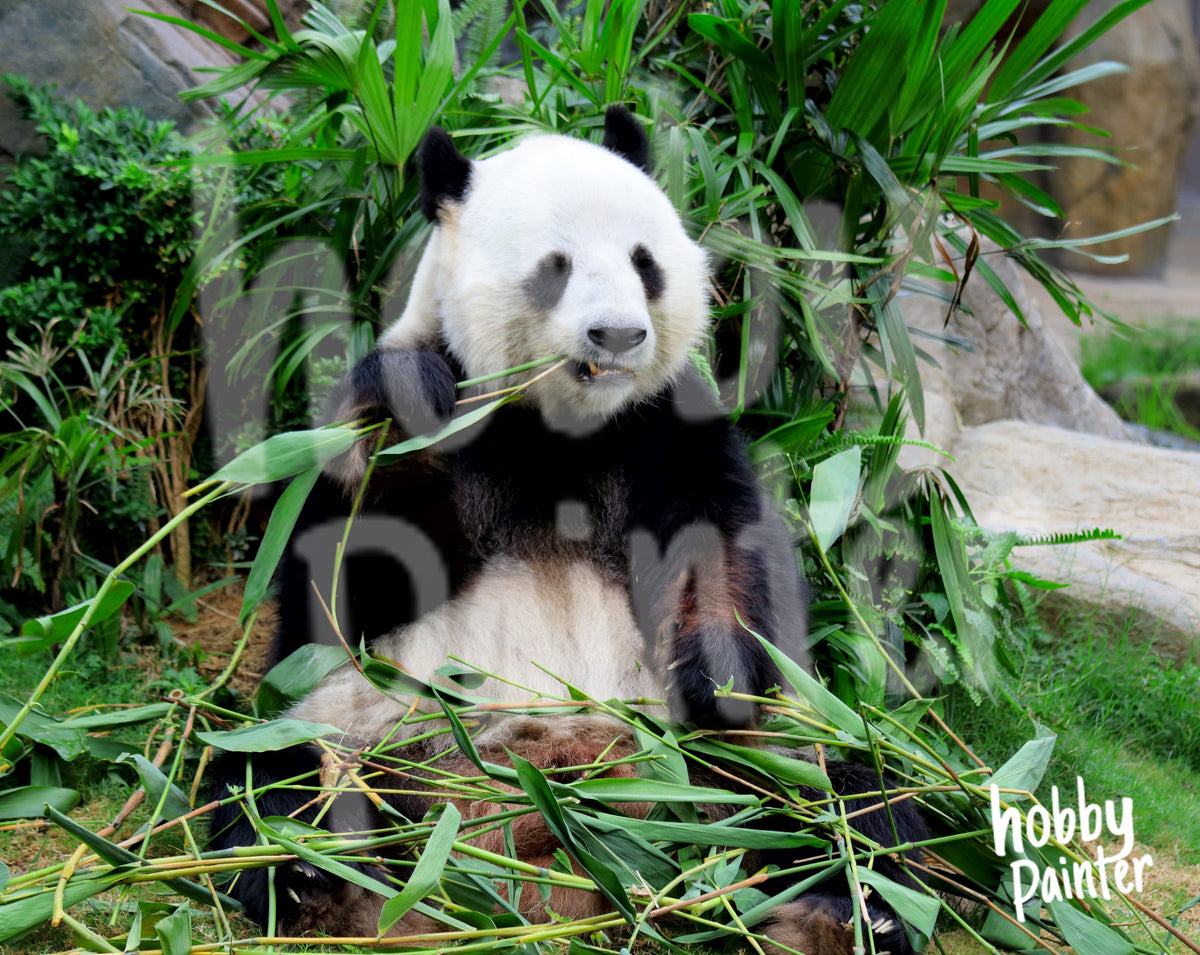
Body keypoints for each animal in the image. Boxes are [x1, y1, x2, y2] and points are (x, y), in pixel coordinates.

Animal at [209, 106, 928, 955]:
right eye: (555, 268)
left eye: (644, 262)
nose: (617, 336)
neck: (559, 430)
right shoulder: (408, 420)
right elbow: (343, 582)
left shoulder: (664, 421)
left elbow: (723, 543)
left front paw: (718, 670)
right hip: (370, 730)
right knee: (266, 780)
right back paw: (311, 877)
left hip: (743, 763)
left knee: (849, 799)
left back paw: (851, 910)